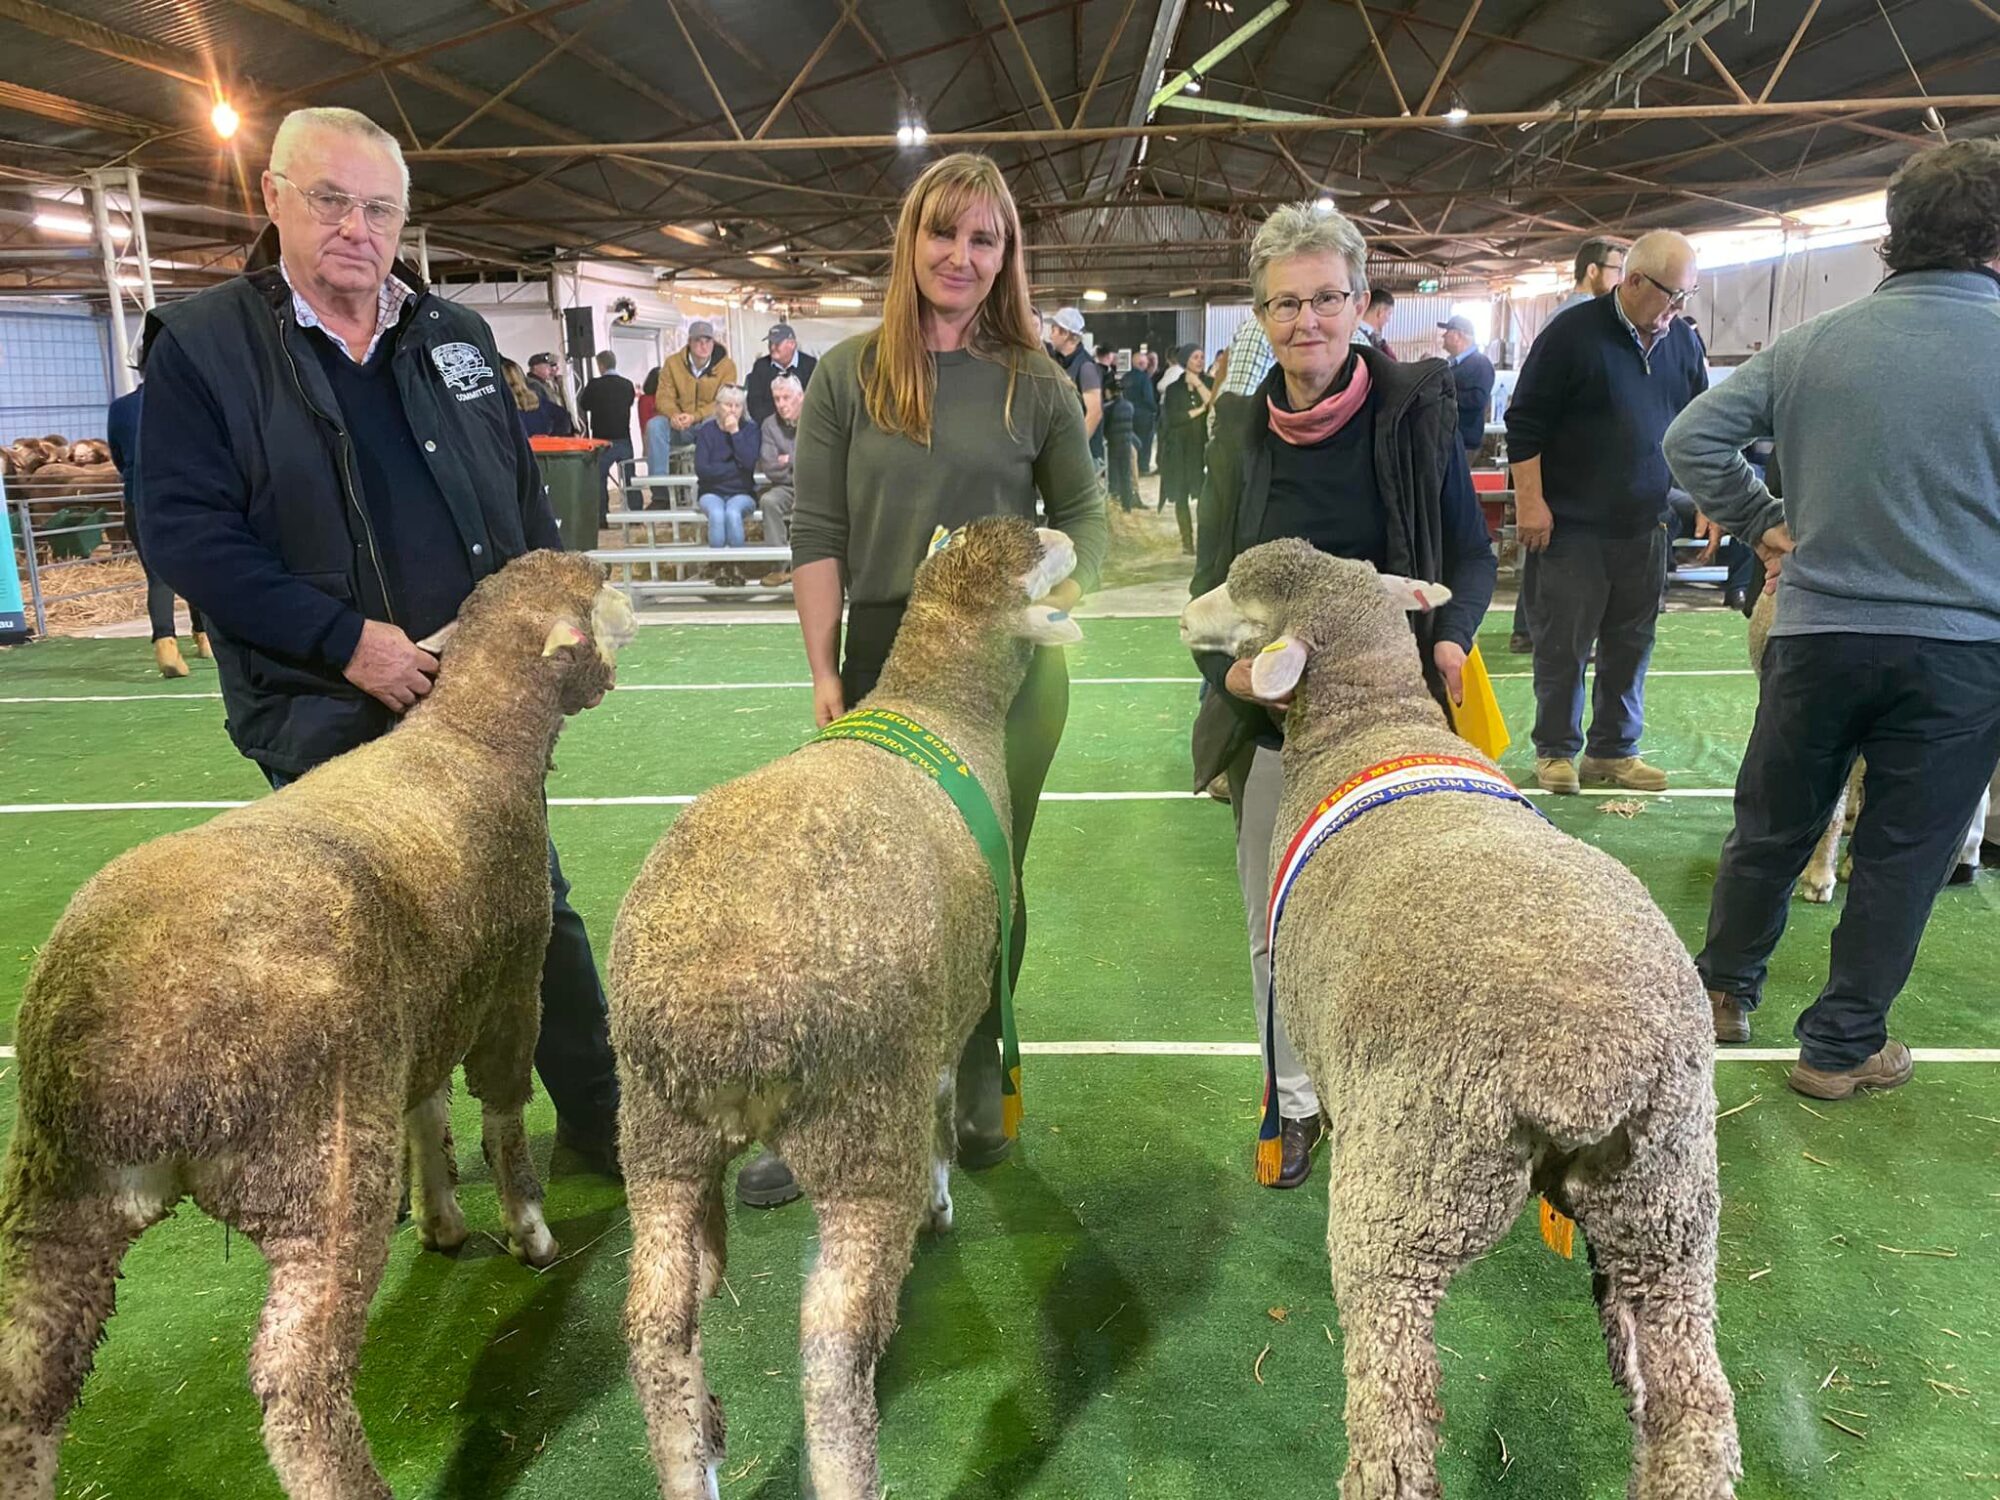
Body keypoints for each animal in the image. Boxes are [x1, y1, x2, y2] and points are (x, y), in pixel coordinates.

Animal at [0, 550, 636, 1500]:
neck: (471, 739)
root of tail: (135, 1058)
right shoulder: (508, 989)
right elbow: (502, 1122)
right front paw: (530, 1232)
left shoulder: (419, 1013)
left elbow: (428, 1115)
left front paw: (442, 1219)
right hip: (320, 1172)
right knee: (297, 1382)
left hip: (59, 1195)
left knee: (26, 1382)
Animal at [610, 517, 1080, 1500]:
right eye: (1029, 550)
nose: (1067, 532)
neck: (942, 704)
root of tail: (720, 1030)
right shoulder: (949, 1016)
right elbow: (940, 1109)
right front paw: (942, 1200)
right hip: (860, 1131)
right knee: (830, 1343)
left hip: (658, 1140)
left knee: (659, 1324)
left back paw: (696, 1459)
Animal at [1181, 538, 1738, 1500]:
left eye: (1240, 604)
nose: (1183, 614)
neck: (1370, 722)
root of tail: (1586, 1074)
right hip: (1667, 1205)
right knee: (1693, 1408)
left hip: (1405, 1205)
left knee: (1394, 1417)